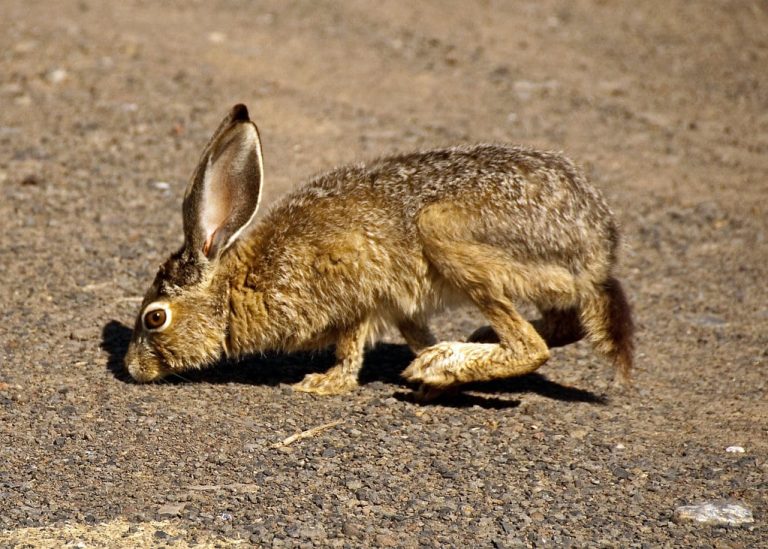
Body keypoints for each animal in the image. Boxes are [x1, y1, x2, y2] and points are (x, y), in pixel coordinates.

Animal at [125, 103, 633, 398]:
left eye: (155, 318)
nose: (131, 368)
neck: (234, 288)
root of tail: (597, 247)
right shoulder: (402, 306)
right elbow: (415, 333)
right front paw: (430, 367)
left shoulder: (355, 293)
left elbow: (350, 349)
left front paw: (324, 385)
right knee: (562, 325)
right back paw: (463, 350)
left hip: (447, 235)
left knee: (533, 346)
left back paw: (448, 364)